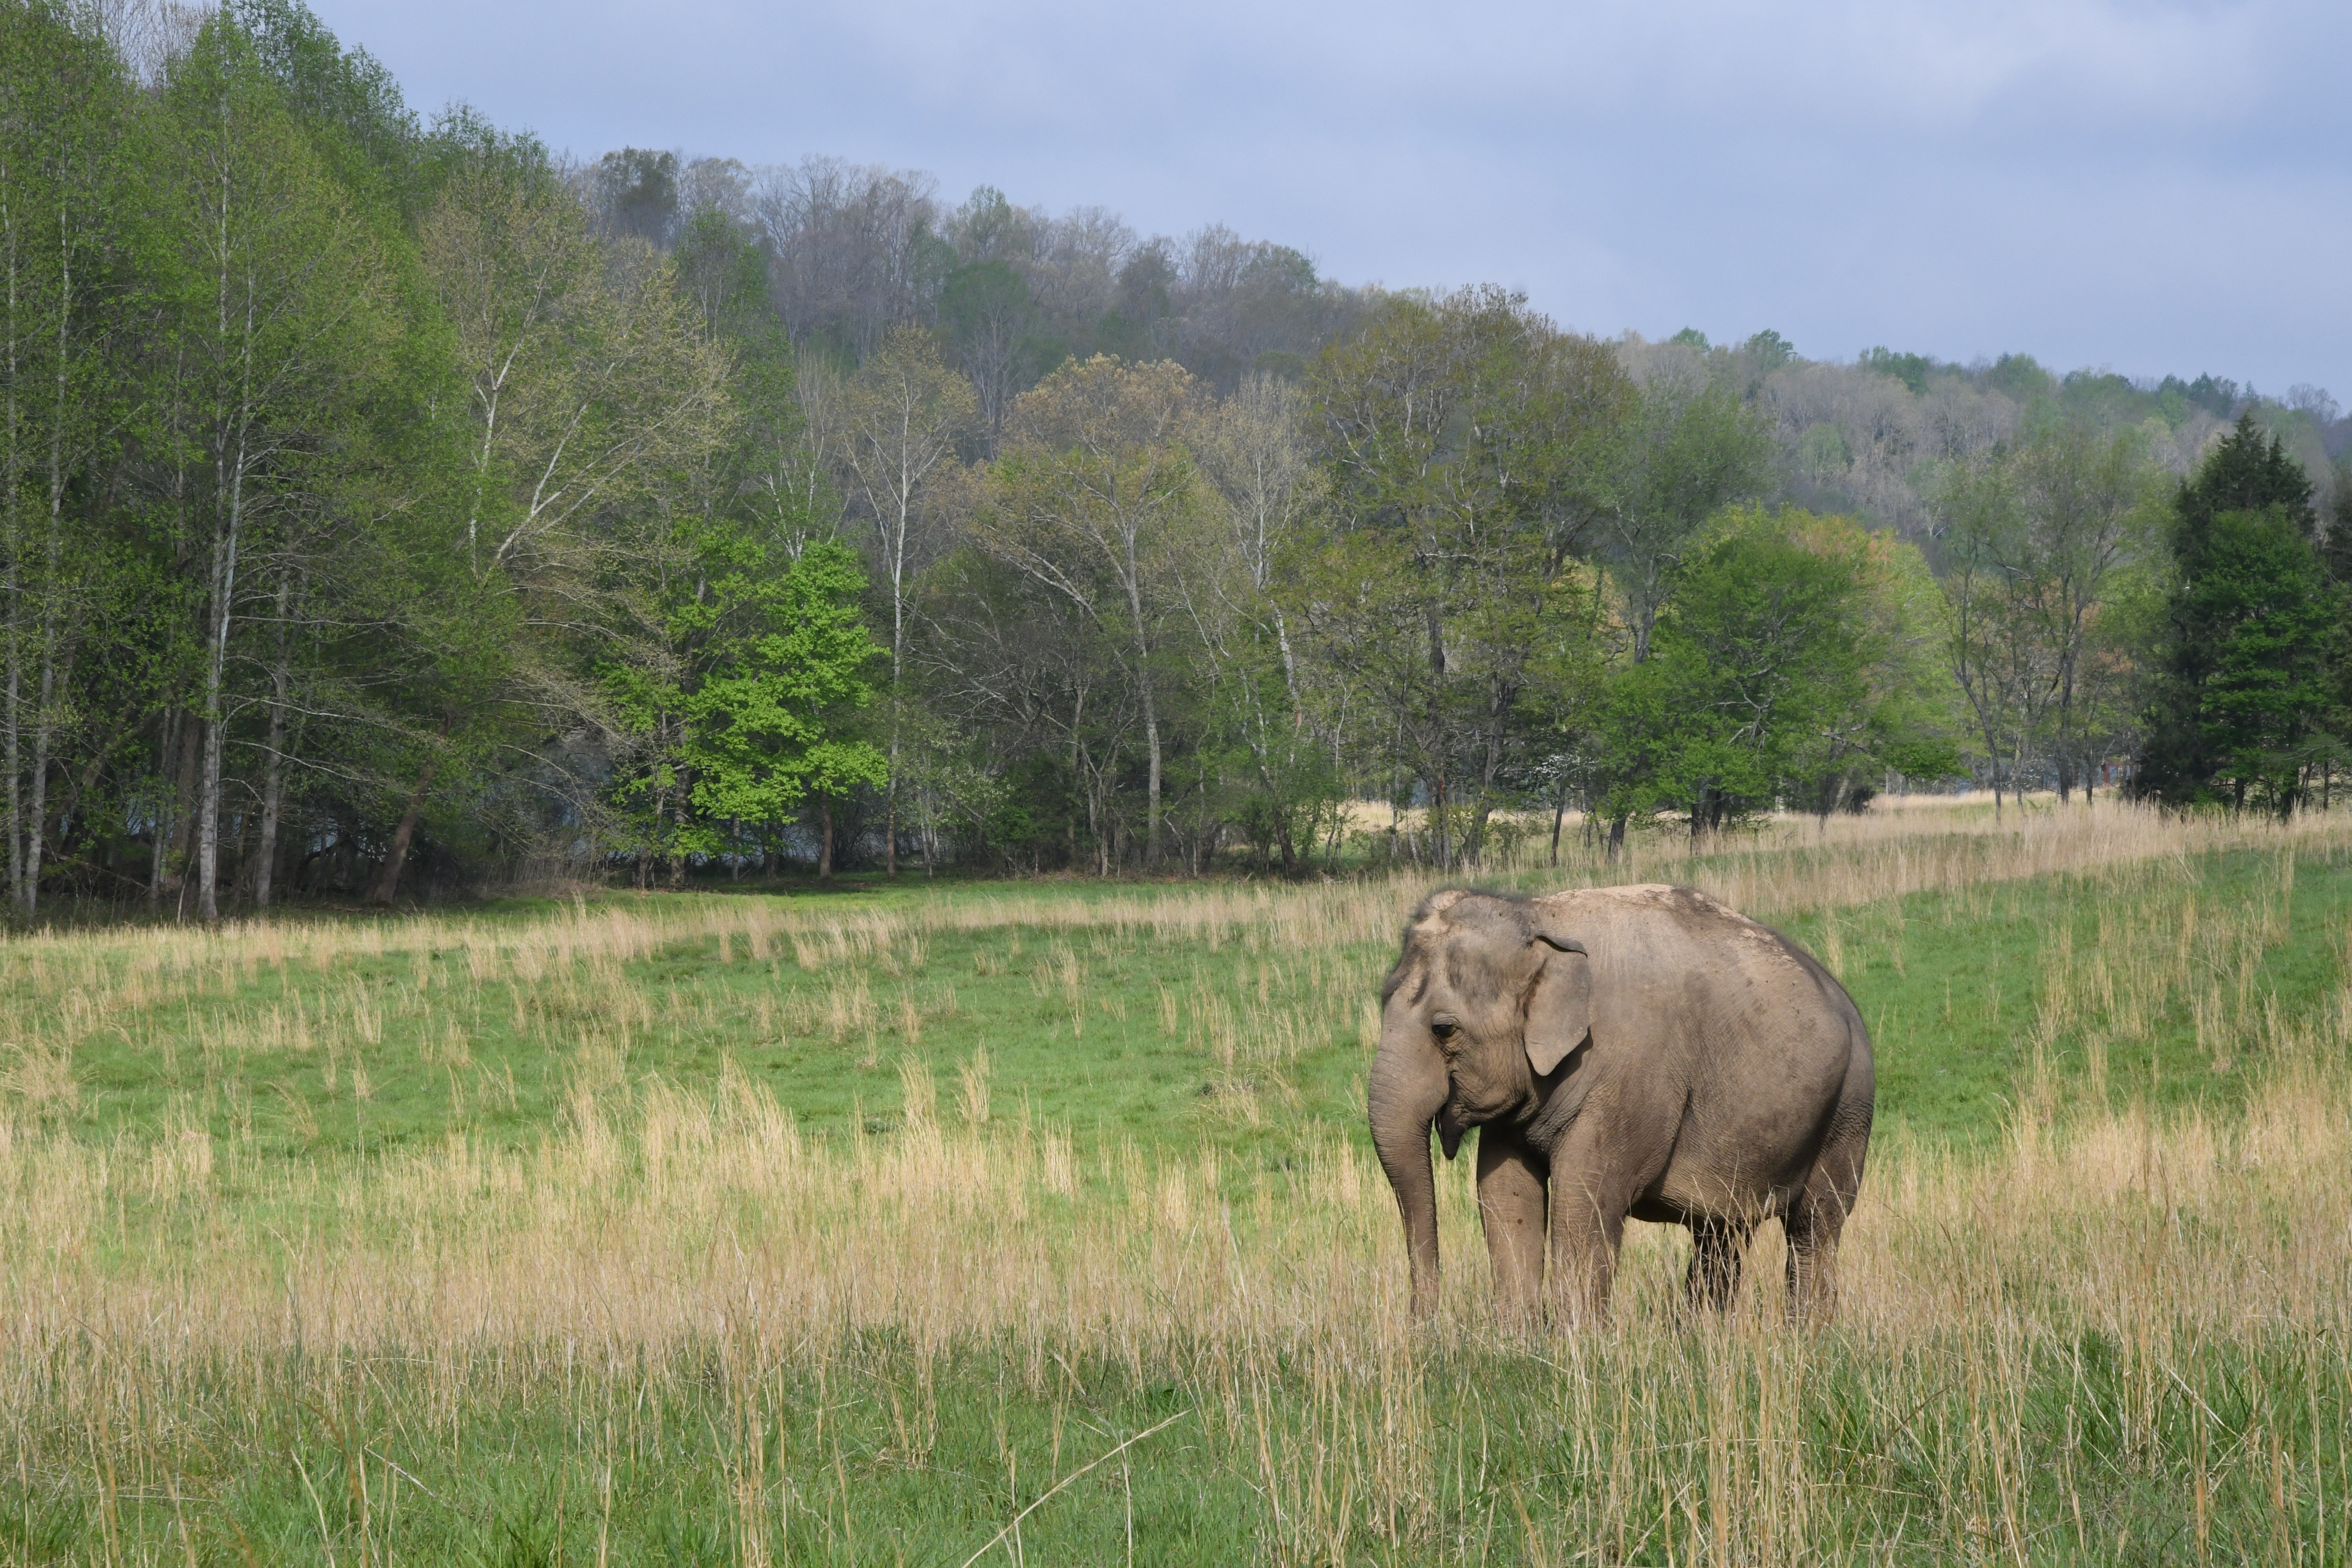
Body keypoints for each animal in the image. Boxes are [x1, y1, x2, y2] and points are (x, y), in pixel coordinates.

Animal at [1367, 884, 1874, 1324]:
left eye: (1444, 1029)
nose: (1425, 1326)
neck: (1540, 916)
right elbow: (1505, 1194)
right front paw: (1516, 1341)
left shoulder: (1632, 1079)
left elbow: (1585, 1201)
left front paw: (1577, 1344)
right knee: (1722, 1232)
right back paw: (1703, 1337)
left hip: (1847, 1112)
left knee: (1814, 1228)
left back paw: (1805, 1337)